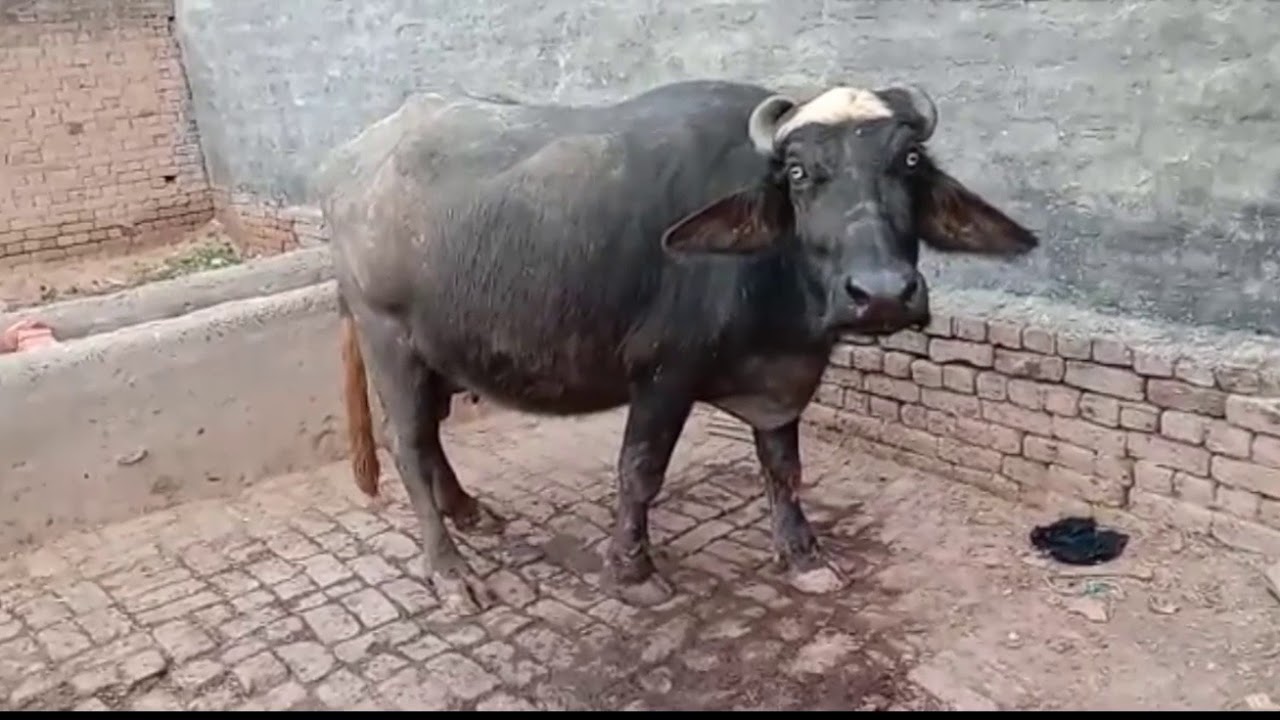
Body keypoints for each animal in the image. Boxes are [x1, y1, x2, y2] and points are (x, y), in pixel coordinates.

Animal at [315, 79, 1039, 615]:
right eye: (799, 172)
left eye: (909, 162)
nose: (883, 293)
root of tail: (351, 161)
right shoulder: (664, 375)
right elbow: (640, 472)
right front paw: (633, 570)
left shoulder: (780, 377)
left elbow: (783, 466)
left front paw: (803, 556)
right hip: (388, 339)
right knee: (410, 447)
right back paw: (450, 572)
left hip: (439, 351)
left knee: (433, 438)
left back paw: (469, 512)